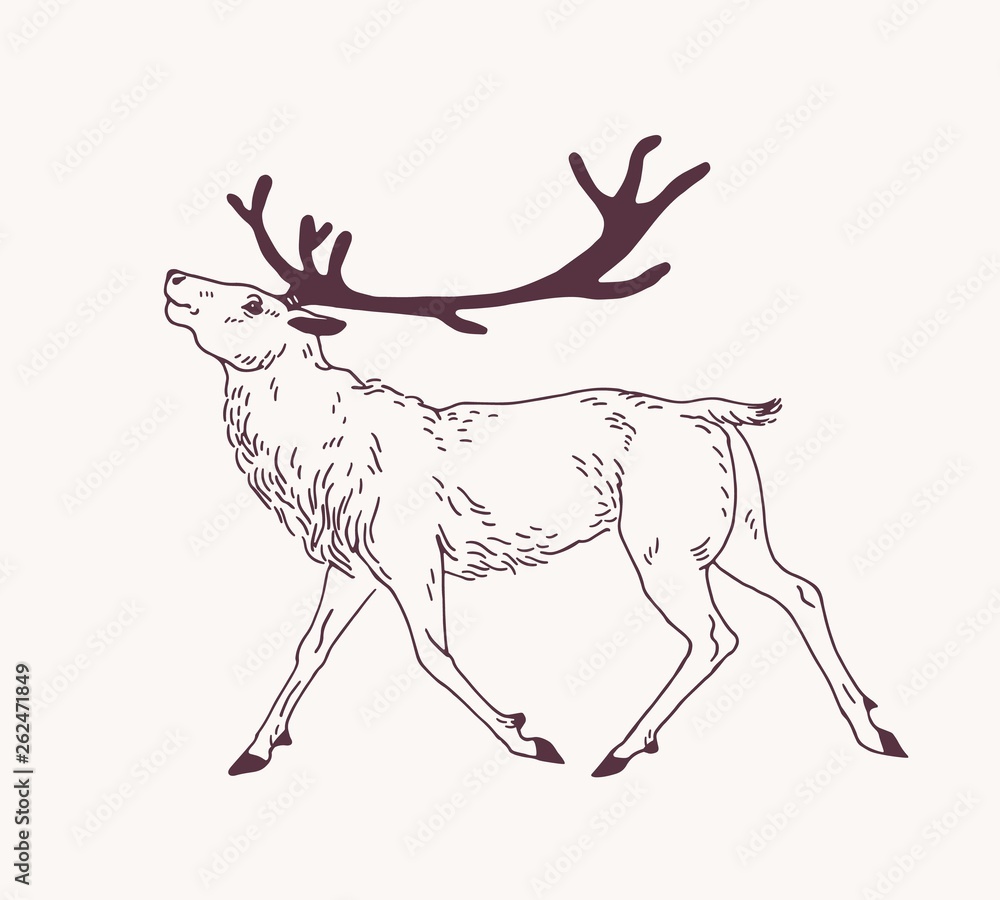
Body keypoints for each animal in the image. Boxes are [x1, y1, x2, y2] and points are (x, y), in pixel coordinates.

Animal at [164, 136, 905, 777]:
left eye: (252, 303)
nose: (173, 275)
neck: (311, 467)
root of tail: (715, 415)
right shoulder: (350, 562)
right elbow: (308, 649)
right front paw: (254, 748)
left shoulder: (410, 553)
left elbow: (430, 651)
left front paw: (526, 736)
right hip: (735, 528)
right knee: (800, 590)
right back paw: (873, 725)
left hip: (662, 538)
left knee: (715, 633)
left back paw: (623, 746)